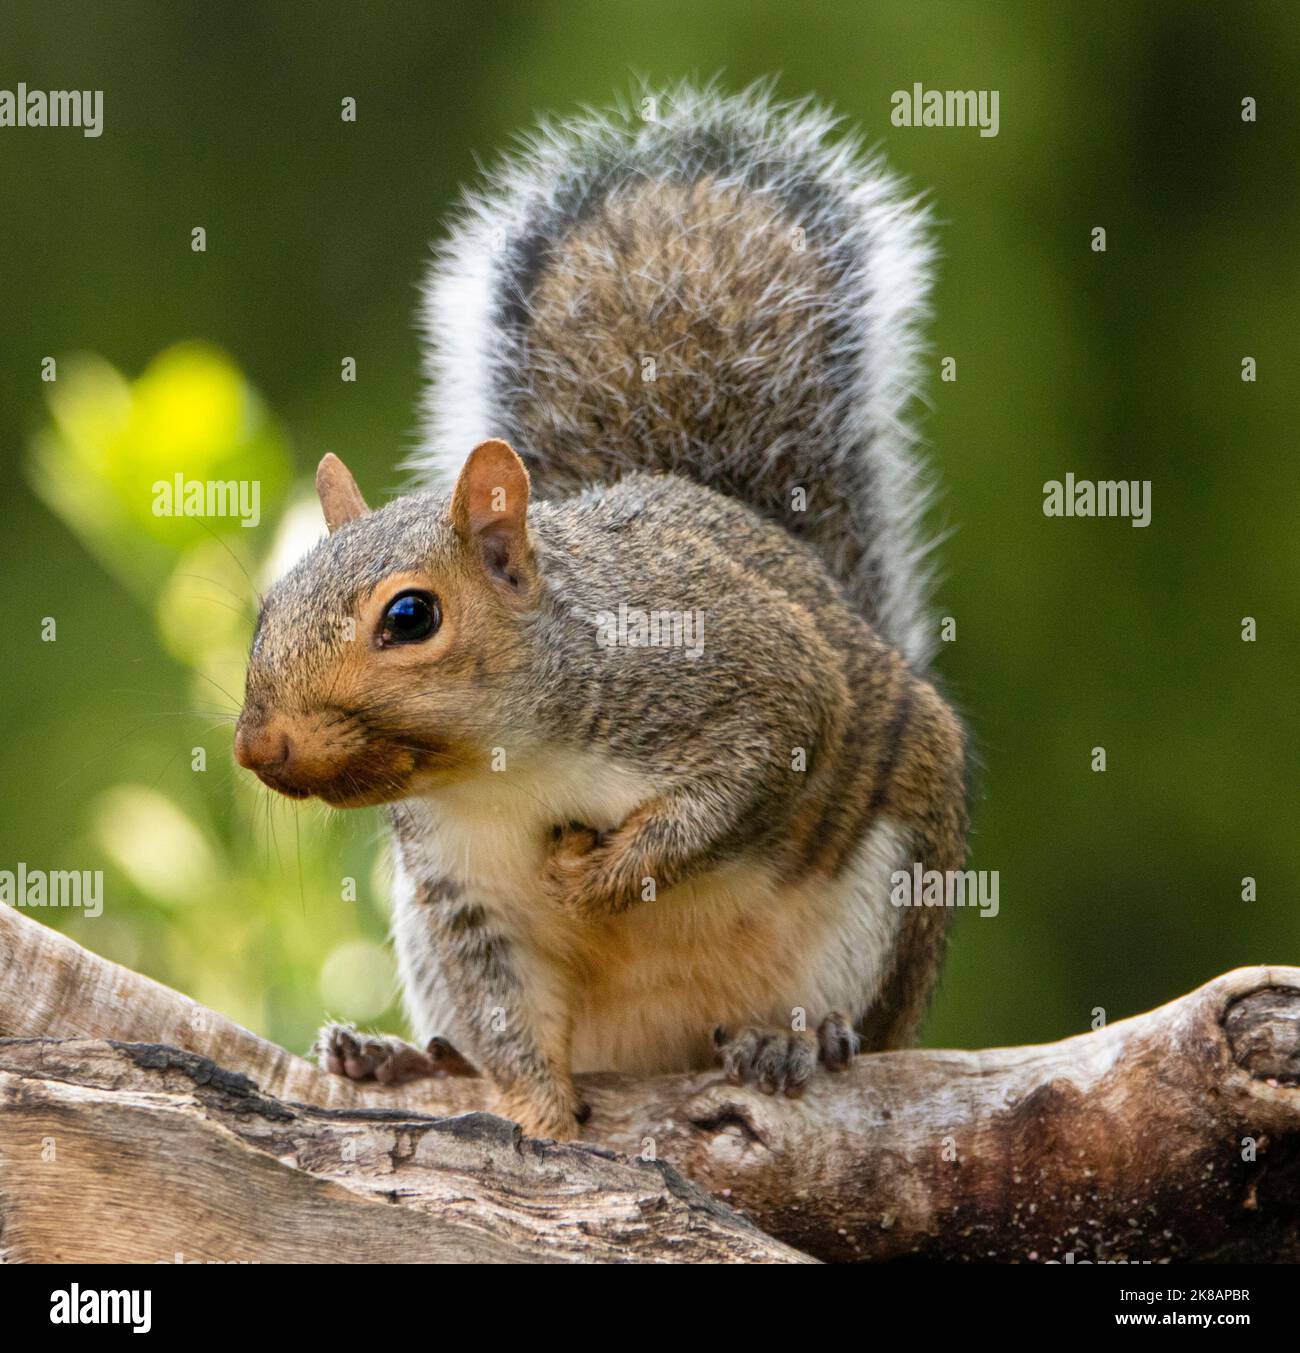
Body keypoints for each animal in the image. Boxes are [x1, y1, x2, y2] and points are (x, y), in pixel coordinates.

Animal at [234, 84, 967, 1140]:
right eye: (268, 607)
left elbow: (733, 786)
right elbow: (506, 1019)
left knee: (856, 1023)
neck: (504, 771)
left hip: (889, 884)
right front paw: (538, 1121)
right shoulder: (462, 894)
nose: (258, 747)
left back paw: (797, 1039)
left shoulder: (746, 683)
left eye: (410, 617)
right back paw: (400, 1058)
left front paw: (610, 874)